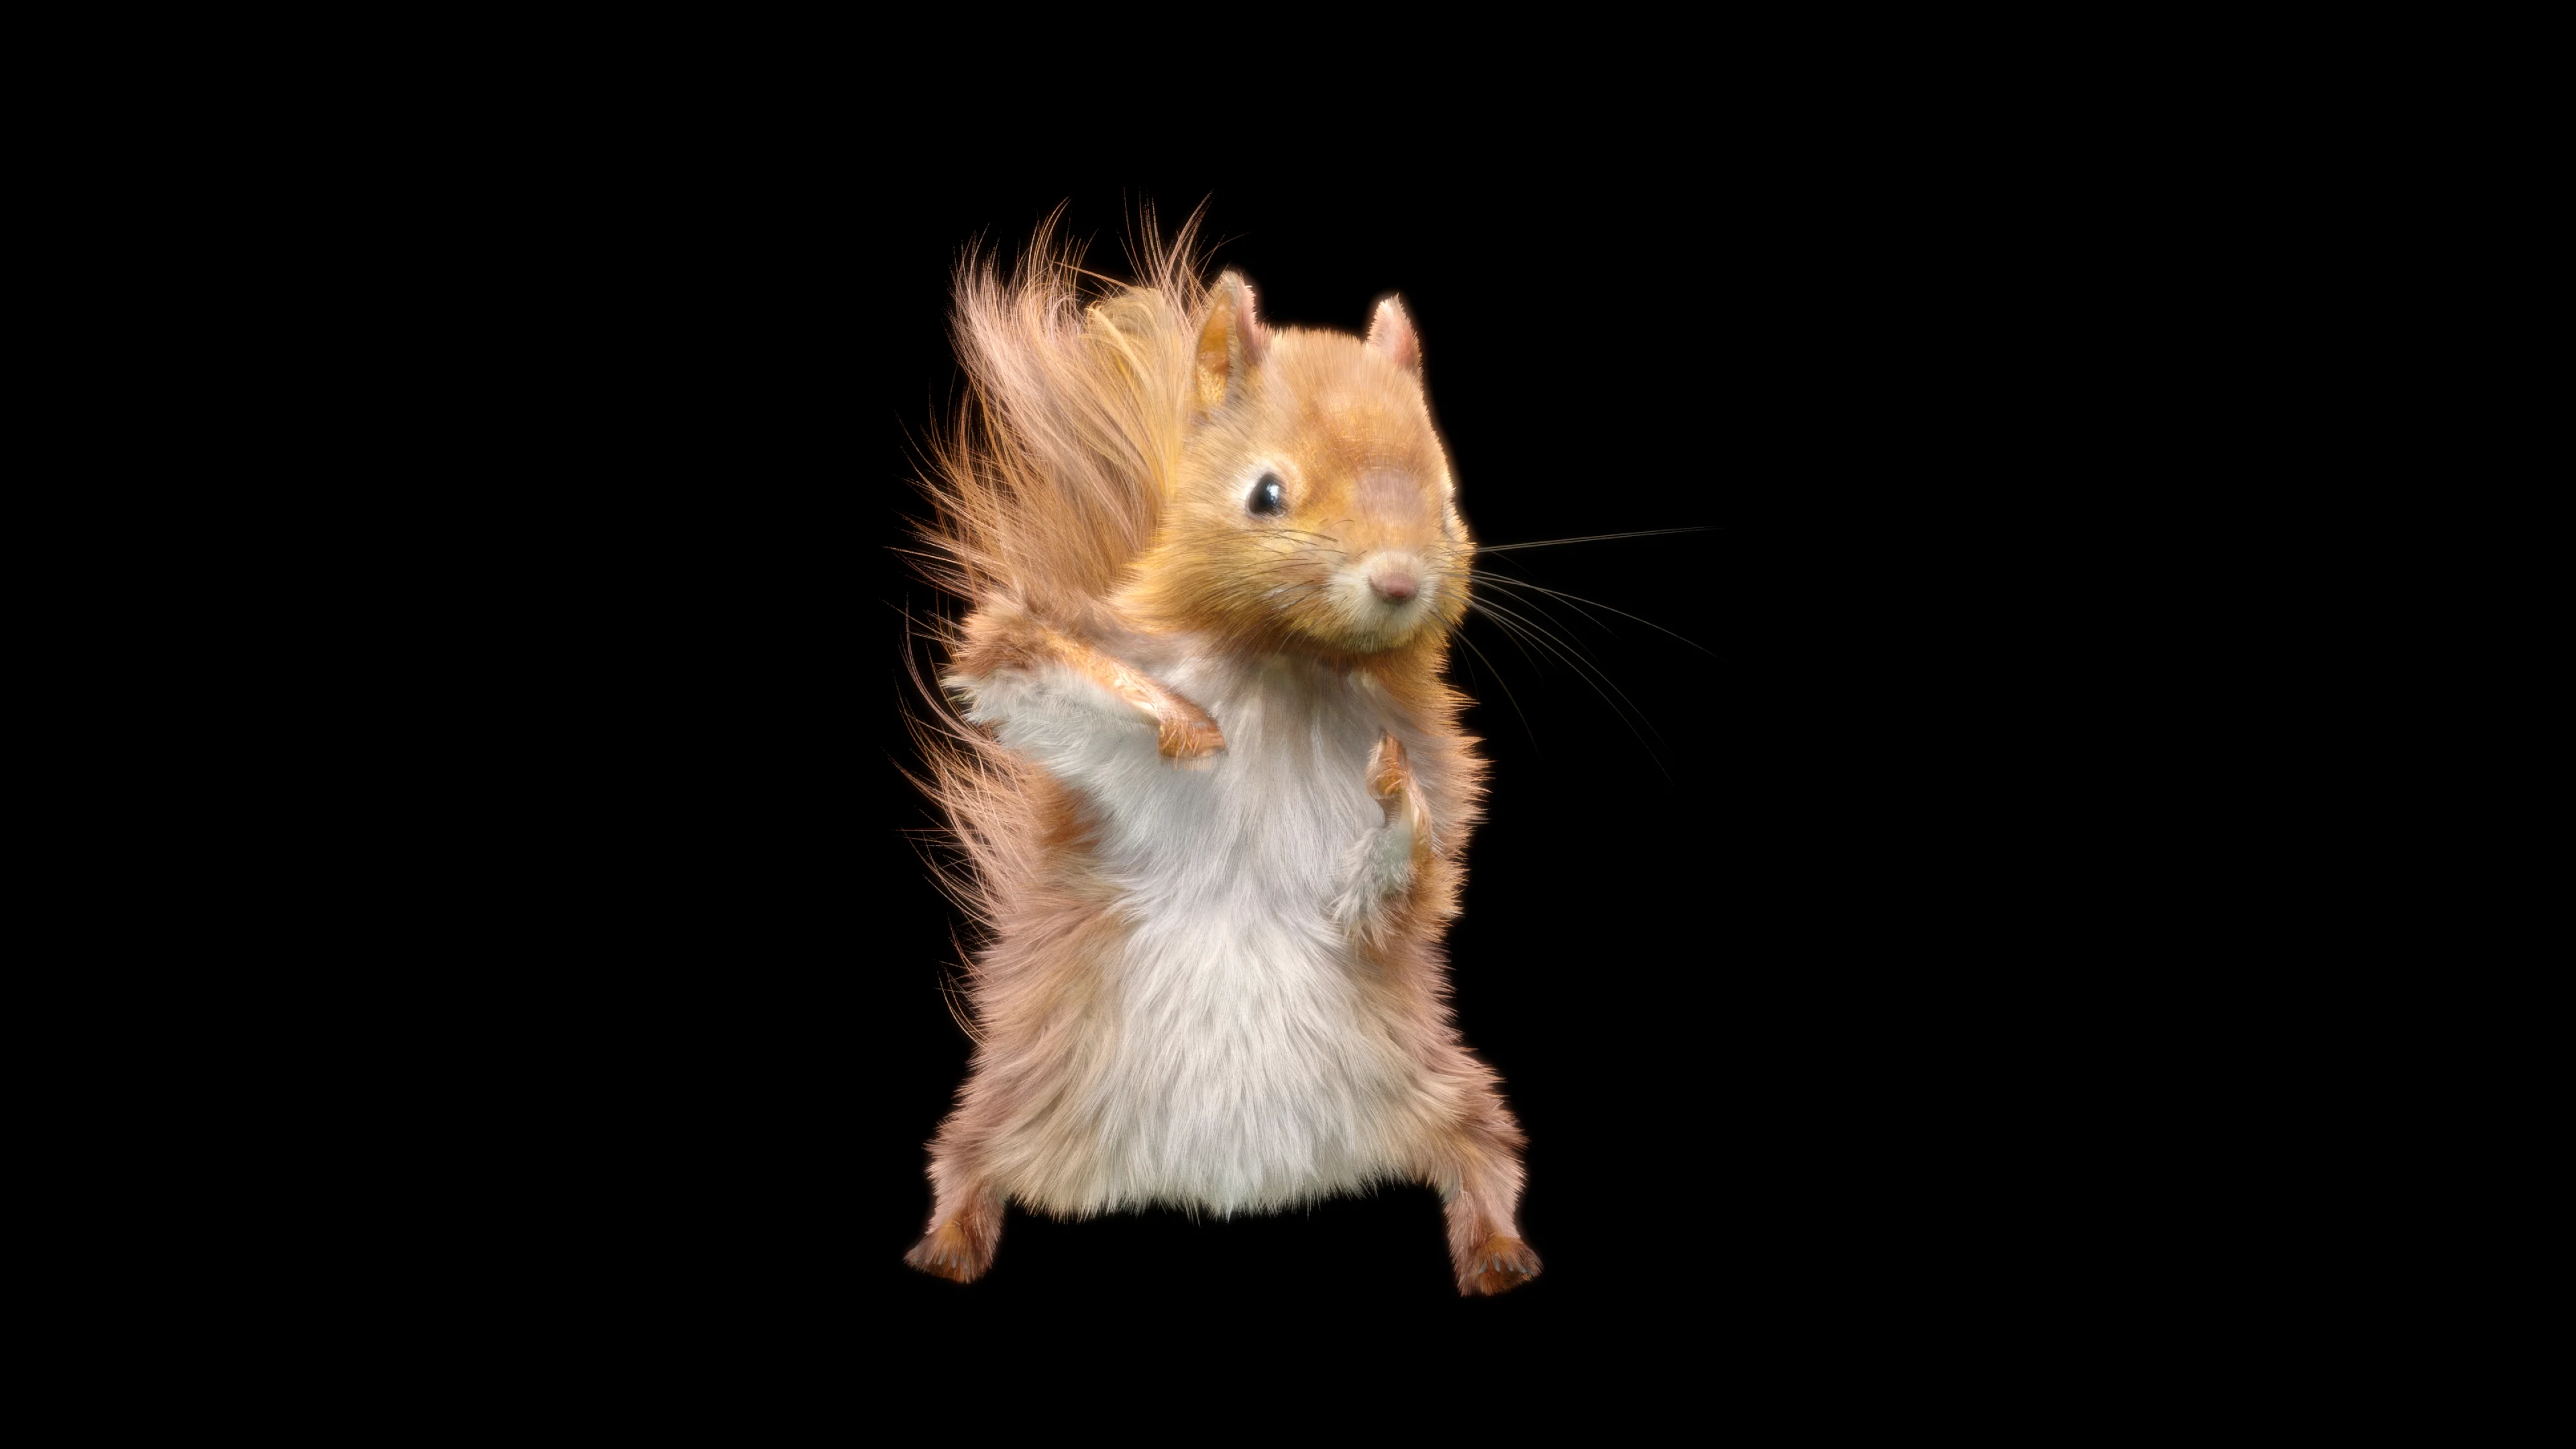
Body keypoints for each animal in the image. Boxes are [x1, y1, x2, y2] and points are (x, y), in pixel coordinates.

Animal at [901, 222, 1539, 1296]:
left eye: (1450, 503)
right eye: (1266, 494)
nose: (1400, 580)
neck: (1292, 674)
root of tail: (1227, 1178)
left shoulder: (1439, 778)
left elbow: (1396, 887)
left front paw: (1396, 801)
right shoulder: (1063, 652)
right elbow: (1020, 662)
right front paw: (1183, 721)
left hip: (1438, 1081)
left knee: (1482, 1155)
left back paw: (1497, 1249)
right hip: (1024, 1091)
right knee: (965, 1159)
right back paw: (949, 1241)